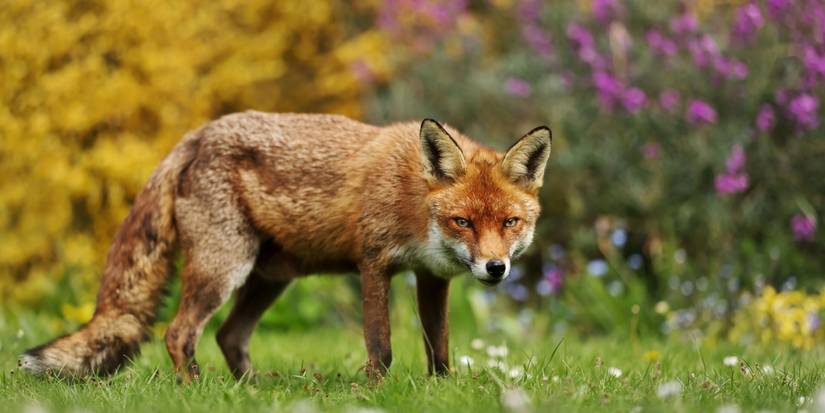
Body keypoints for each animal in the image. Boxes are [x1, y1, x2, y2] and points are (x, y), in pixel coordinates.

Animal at [18, 112, 552, 382]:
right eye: (463, 221)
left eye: (509, 222)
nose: (495, 268)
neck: (412, 196)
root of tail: (194, 135)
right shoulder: (374, 264)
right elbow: (380, 348)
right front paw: (374, 393)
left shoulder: (432, 276)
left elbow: (438, 347)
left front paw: (442, 391)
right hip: (223, 270)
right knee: (178, 334)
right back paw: (194, 390)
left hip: (270, 279)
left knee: (228, 337)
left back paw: (249, 392)